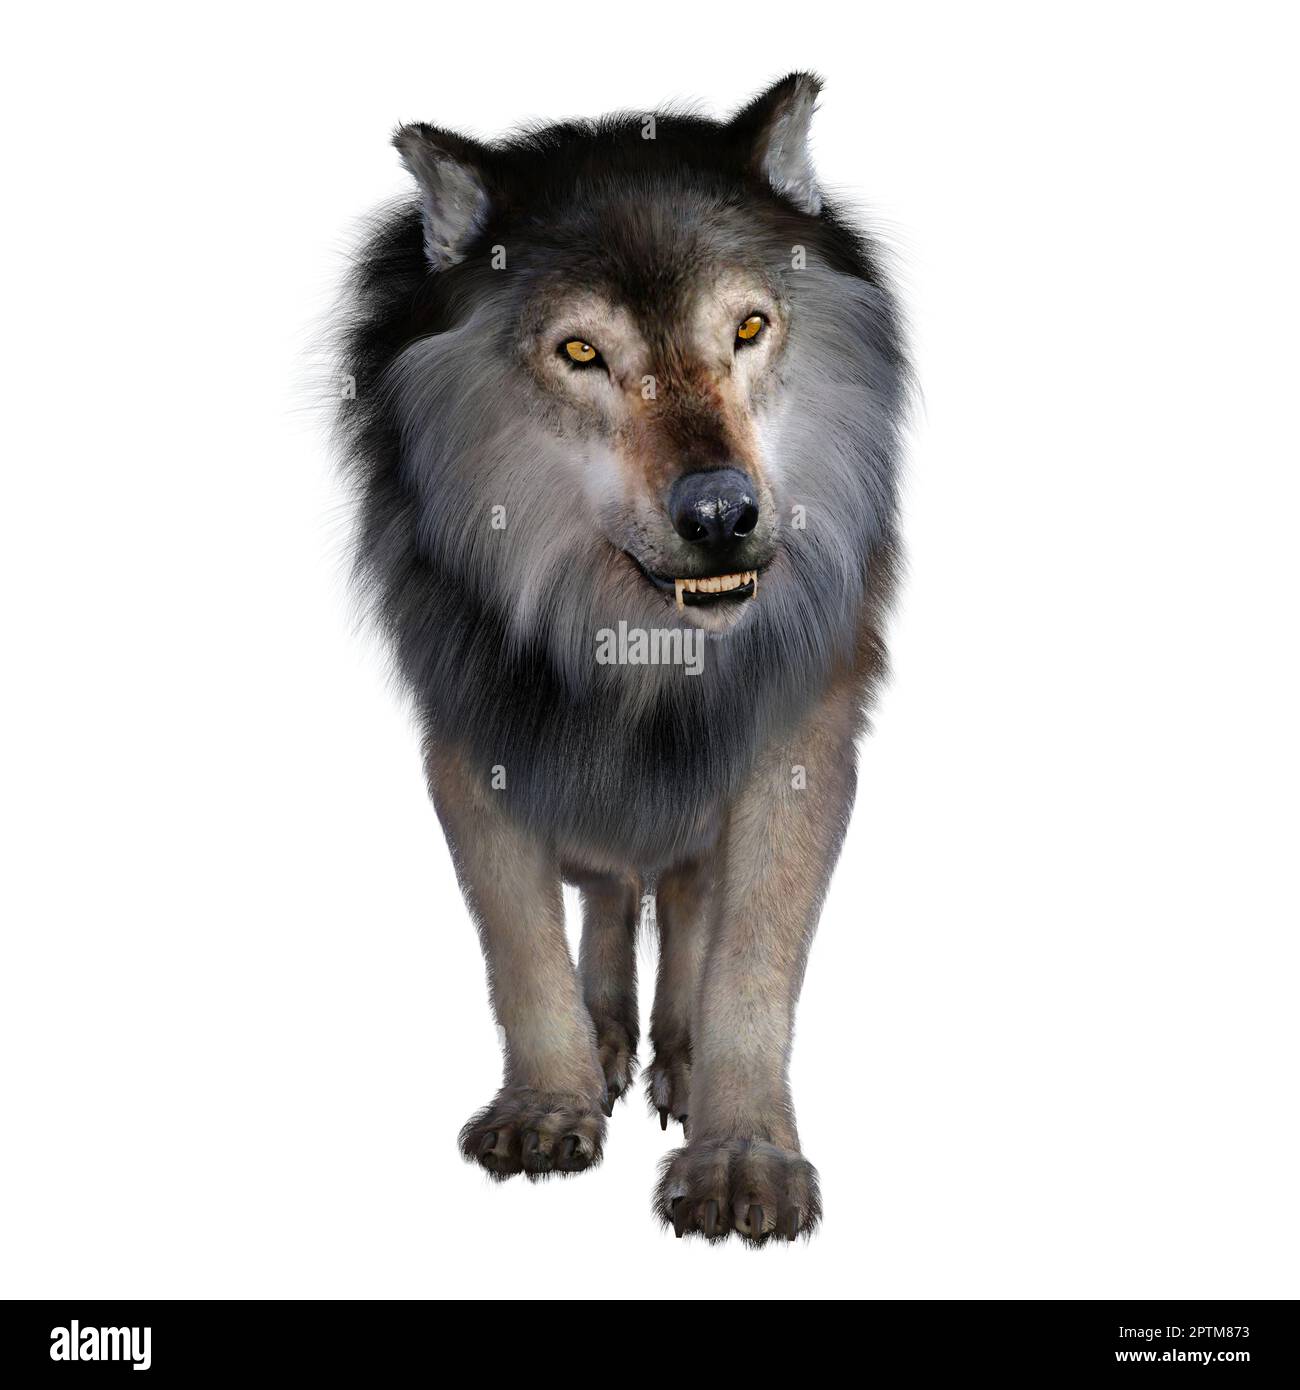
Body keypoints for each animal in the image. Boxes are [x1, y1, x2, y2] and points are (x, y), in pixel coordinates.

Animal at [334, 73, 909, 1243]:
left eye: (748, 327)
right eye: (583, 353)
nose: (722, 514)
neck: (636, 656)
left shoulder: (801, 750)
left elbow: (749, 965)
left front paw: (743, 1154)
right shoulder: (475, 746)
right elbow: (523, 954)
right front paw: (549, 1102)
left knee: (680, 907)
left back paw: (675, 1059)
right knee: (606, 896)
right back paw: (607, 1045)